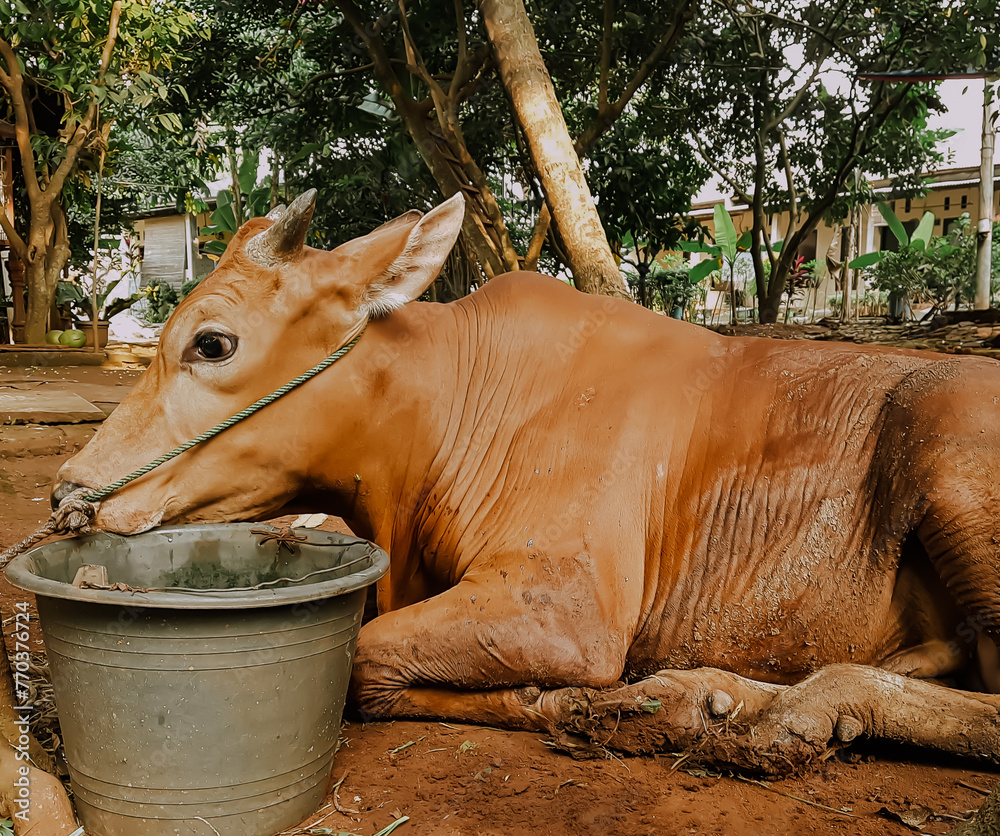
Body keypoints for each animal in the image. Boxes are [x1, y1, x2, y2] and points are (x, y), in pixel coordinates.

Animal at [52, 191, 1000, 774]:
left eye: (212, 342)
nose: (67, 491)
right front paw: (640, 705)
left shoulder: (565, 605)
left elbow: (368, 659)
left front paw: (610, 709)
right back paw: (733, 694)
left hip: (949, 444)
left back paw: (795, 710)